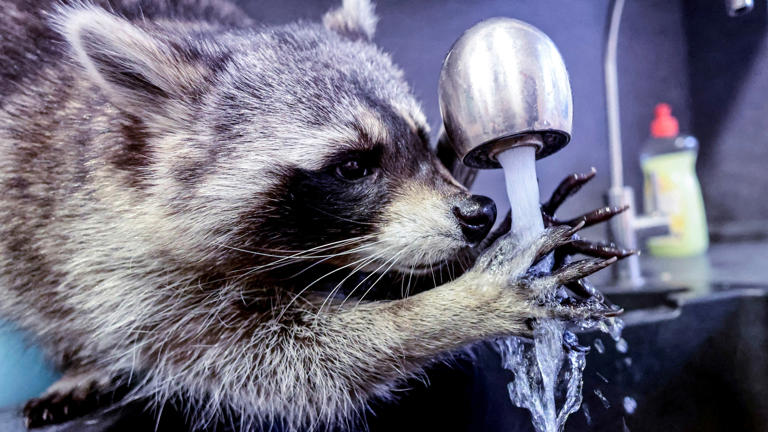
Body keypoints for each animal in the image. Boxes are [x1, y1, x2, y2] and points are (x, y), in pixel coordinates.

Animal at [0, 0, 622, 430]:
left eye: (425, 142)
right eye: (352, 166)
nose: (478, 214)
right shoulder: (110, 244)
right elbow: (273, 363)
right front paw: (450, 309)